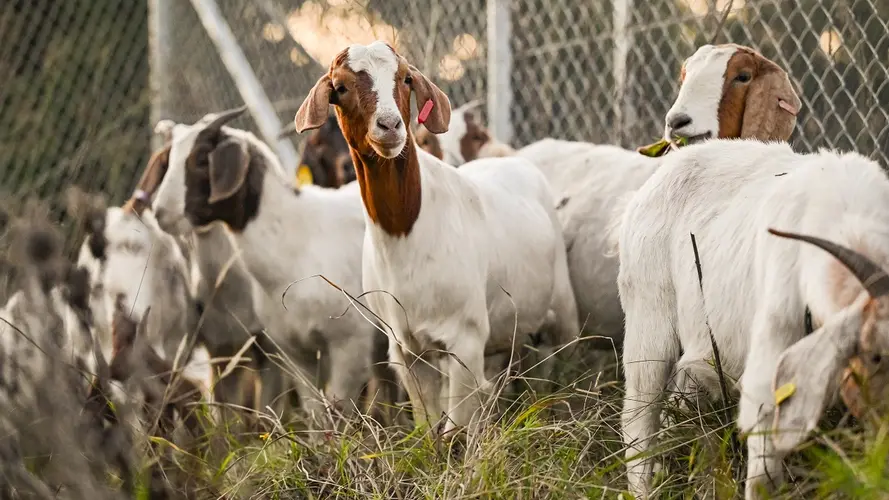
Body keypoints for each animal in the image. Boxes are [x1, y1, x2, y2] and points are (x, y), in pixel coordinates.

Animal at [151, 107, 397, 424]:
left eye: (202, 158)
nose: (160, 213)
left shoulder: (349, 345)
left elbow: (340, 411)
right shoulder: (295, 354)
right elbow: (316, 414)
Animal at [294, 41, 579, 434]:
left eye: (406, 78)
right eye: (340, 87)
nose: (390, 125)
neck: (407, 230)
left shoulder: (466, 338)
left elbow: (456, 433)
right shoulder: (407, 349)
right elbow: (429, 427)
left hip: (563, 312)